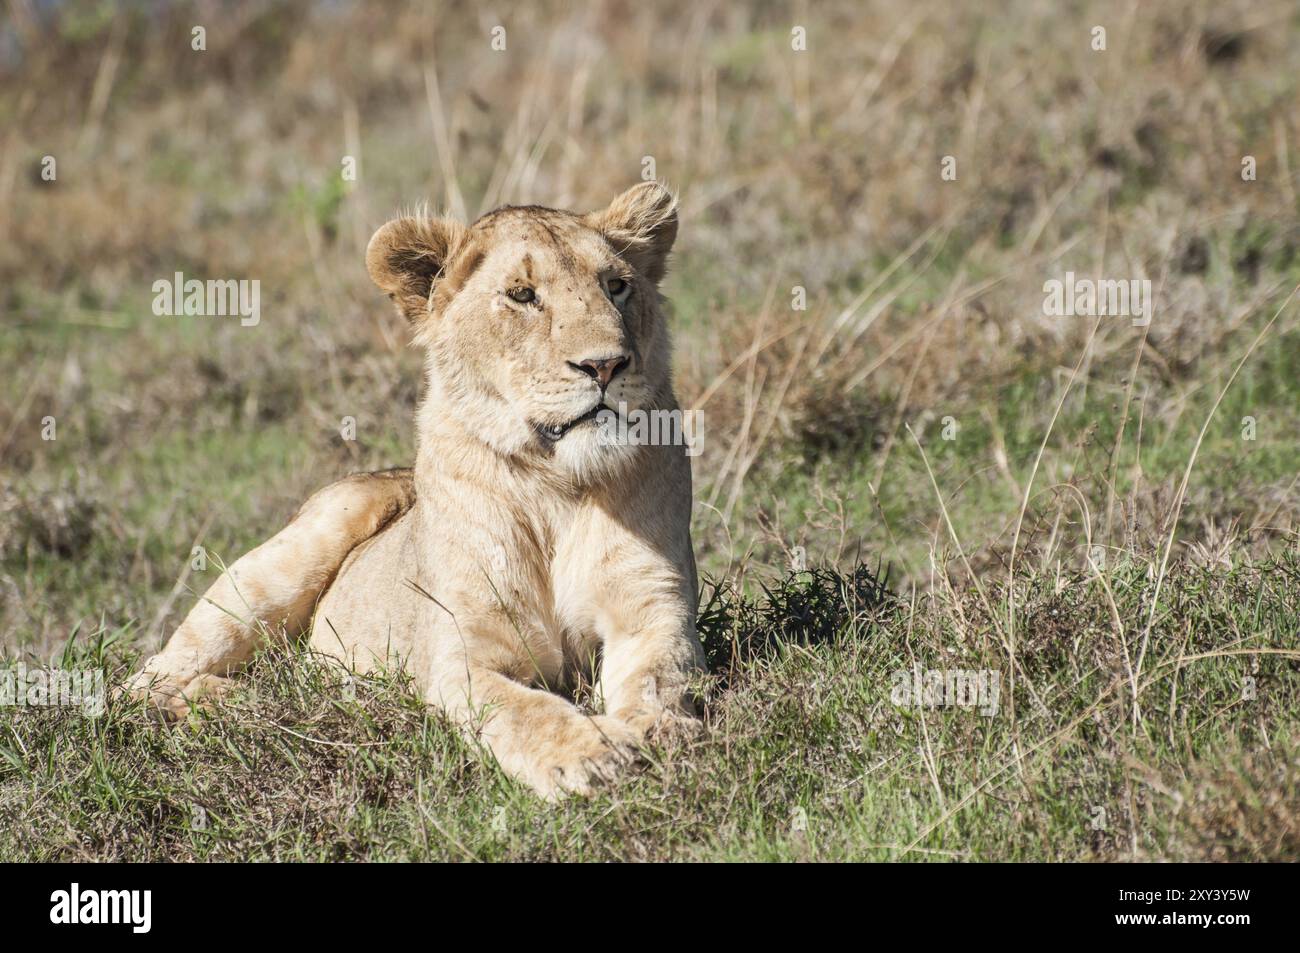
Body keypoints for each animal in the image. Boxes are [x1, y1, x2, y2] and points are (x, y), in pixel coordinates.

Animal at [123, 182, 706, 799]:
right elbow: (524, 711)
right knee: (141, 684)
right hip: (283, 561)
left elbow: (660, 680)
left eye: (616, 285)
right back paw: (247, 702)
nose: (607, 365)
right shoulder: (464, 653)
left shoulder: (653, 610)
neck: (558, 487)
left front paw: (662, 738)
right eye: (522, 296)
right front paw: (593, 755)